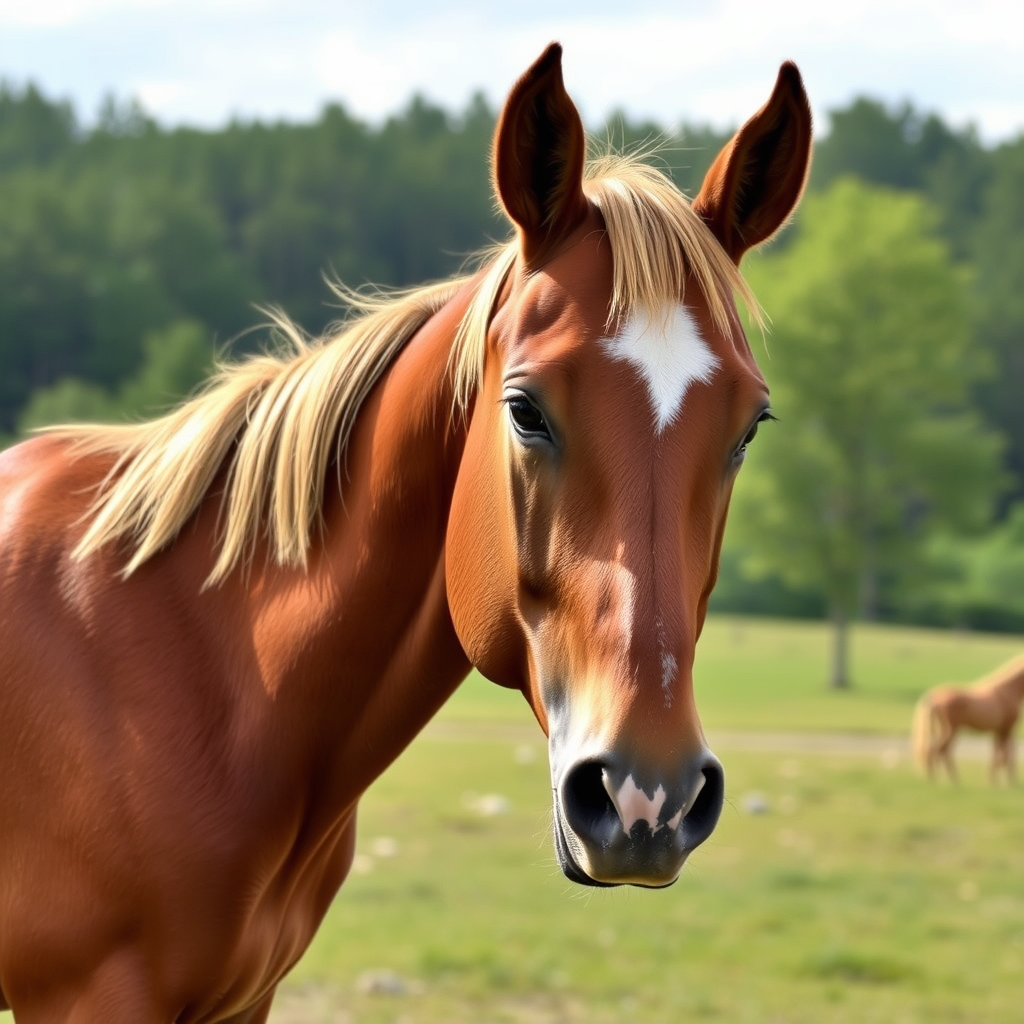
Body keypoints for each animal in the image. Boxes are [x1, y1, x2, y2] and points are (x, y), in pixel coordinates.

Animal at [911, 654, 1024, 783]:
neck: (1007, 691)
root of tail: (934, 697)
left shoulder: (999, 730)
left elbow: (999, 755)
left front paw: (993, 780)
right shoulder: (1007, 729)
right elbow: (1005, 756)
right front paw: (1007, 781)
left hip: (943, 730)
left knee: (938, 751)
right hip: (951, 730)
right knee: (940, 751)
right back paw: (946, 781)